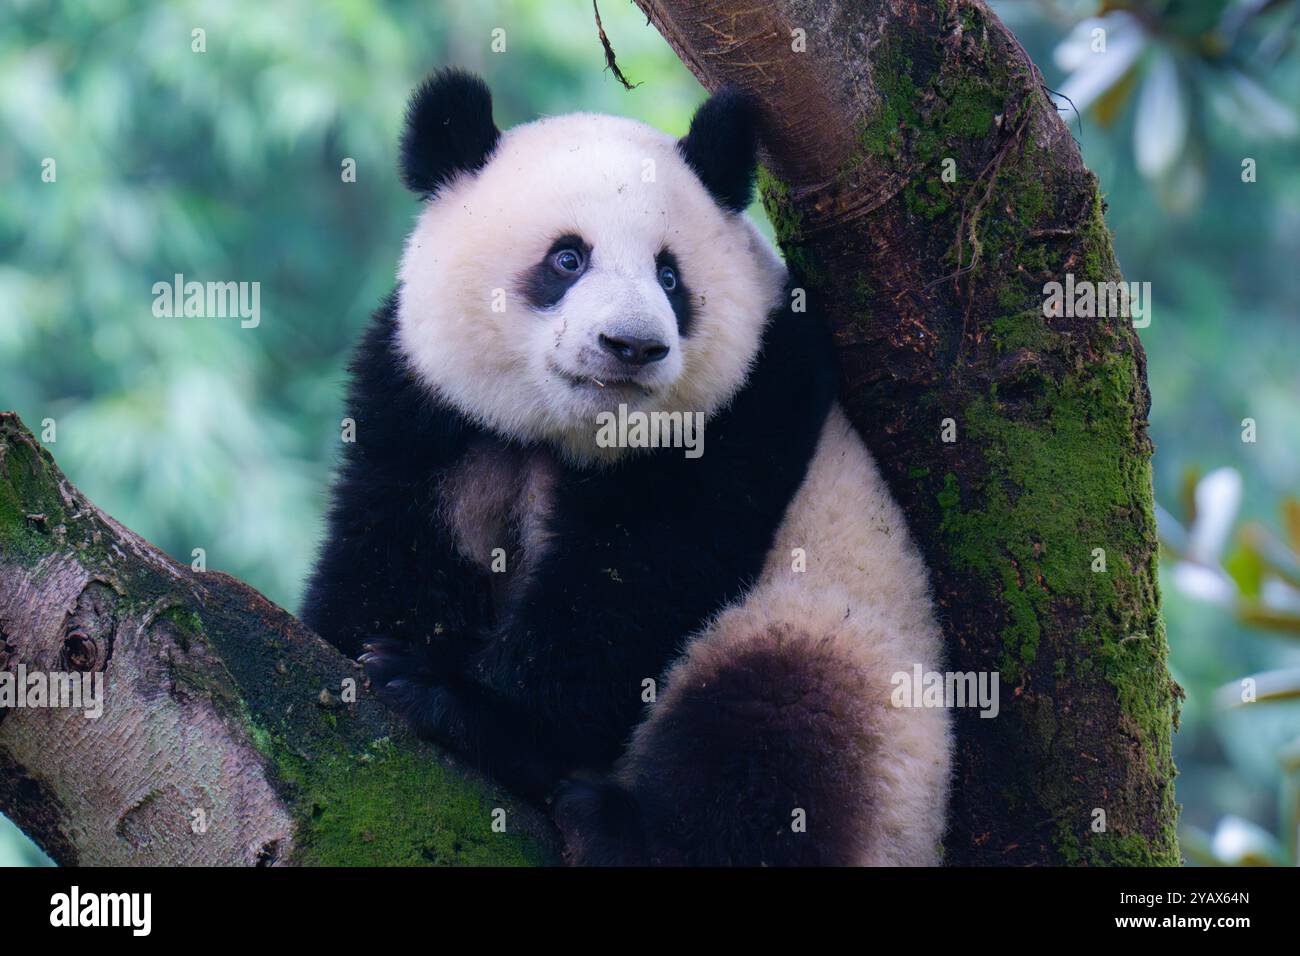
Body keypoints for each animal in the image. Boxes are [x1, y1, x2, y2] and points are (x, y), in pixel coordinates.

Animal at [302, 69, 952, 866]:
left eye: (669, 275)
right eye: (567, 259)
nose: (632, 346)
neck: (570, 432)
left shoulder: (751, 399)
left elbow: (634, 579)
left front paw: (453, 701)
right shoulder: (426, 398)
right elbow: (395, 533)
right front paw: (369, 646)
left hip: (862, 674)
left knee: (780, 721)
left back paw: (619, 825)